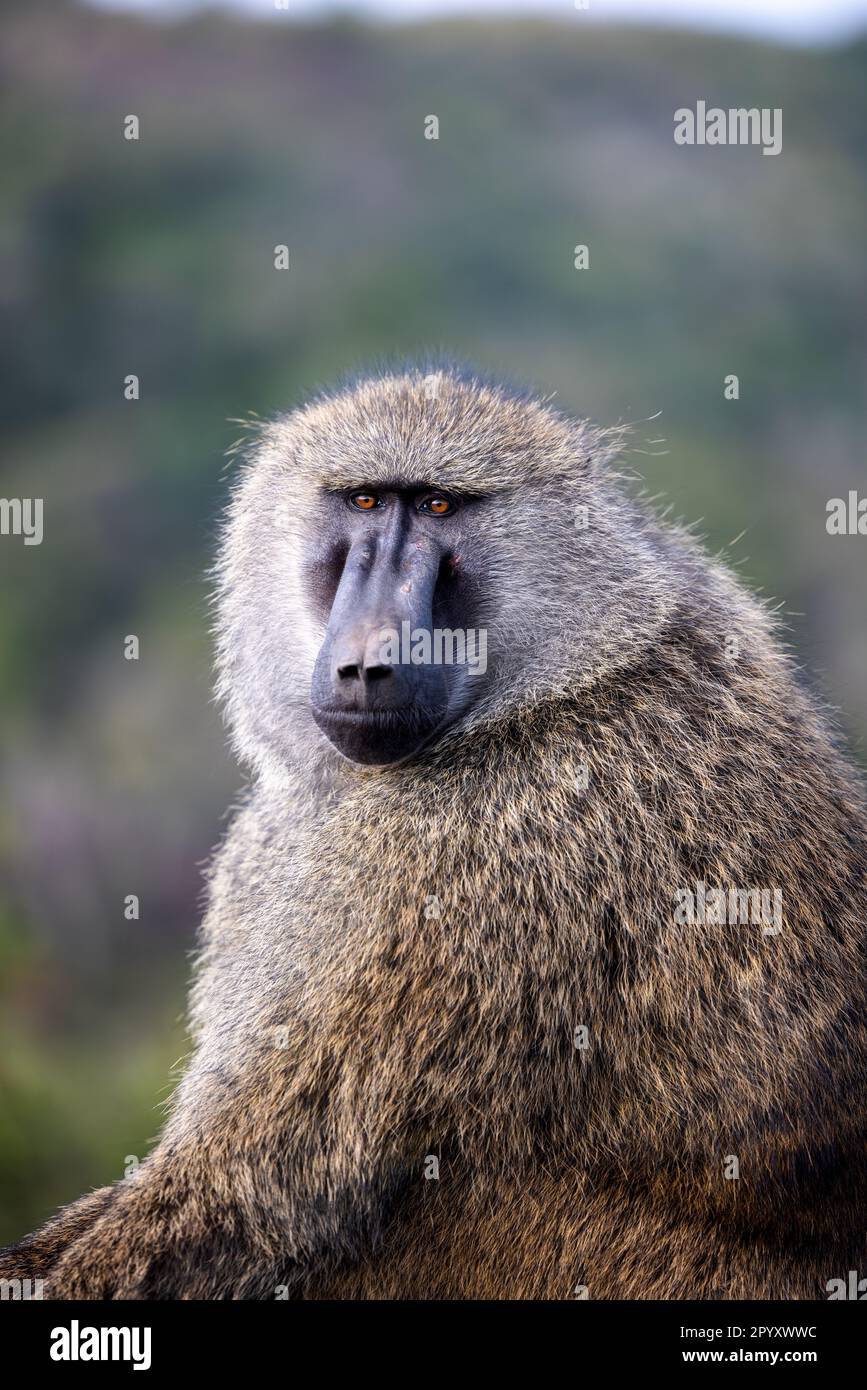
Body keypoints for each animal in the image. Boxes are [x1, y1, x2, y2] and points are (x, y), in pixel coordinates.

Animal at [1, 365, 865, 1300]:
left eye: (441, 508)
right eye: (365, 500)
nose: (366, 663)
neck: (557, 678)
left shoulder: (481, 855)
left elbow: (243, 1199)